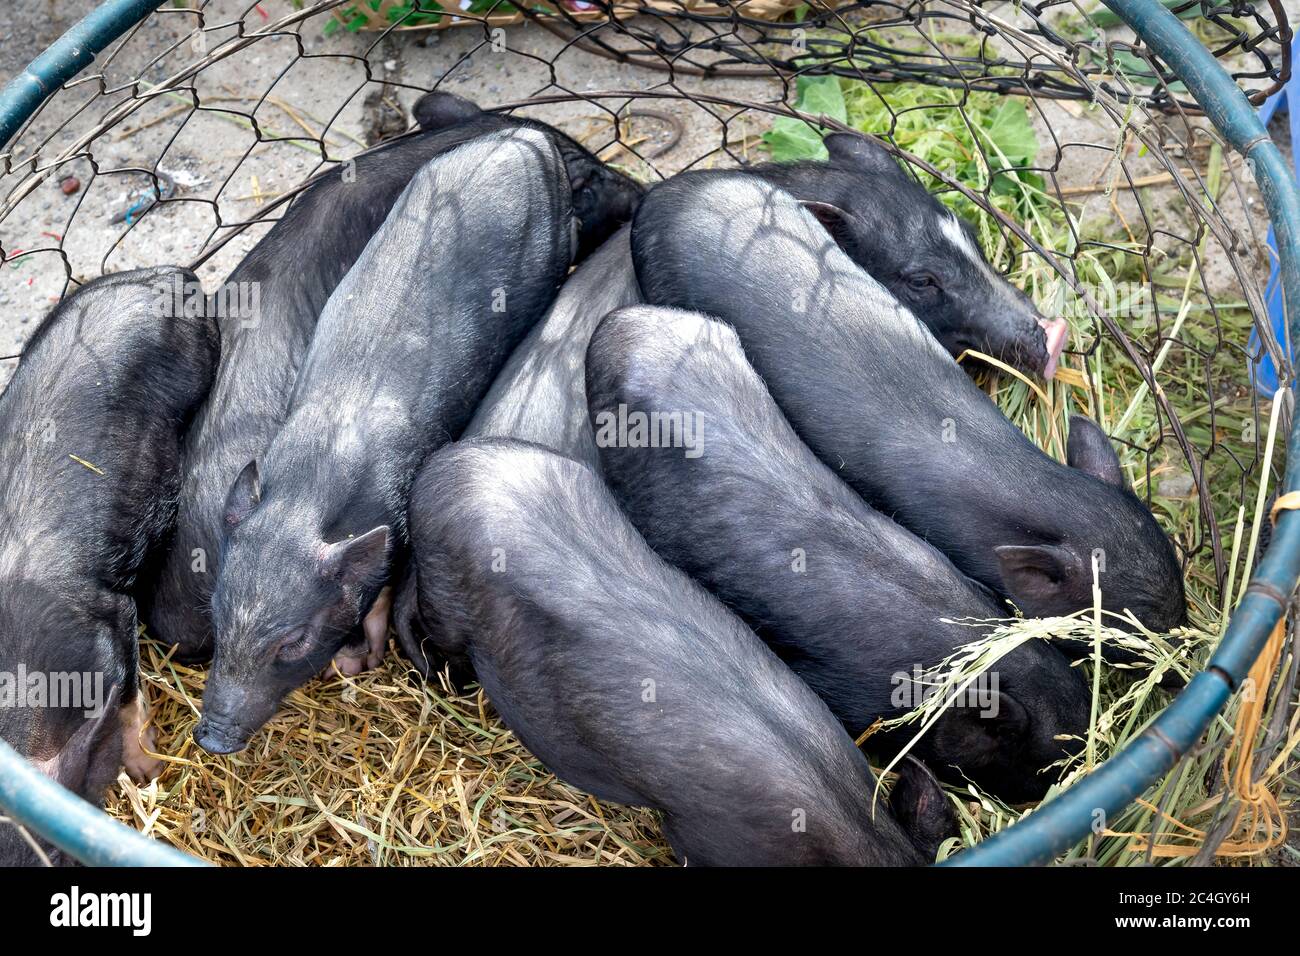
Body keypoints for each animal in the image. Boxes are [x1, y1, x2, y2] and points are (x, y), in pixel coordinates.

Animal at [192, 128, 573, 755]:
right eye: (218, 617)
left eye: (292, 642)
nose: (212, 738)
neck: (306, 493)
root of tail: (526, 135)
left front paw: (359, 659)